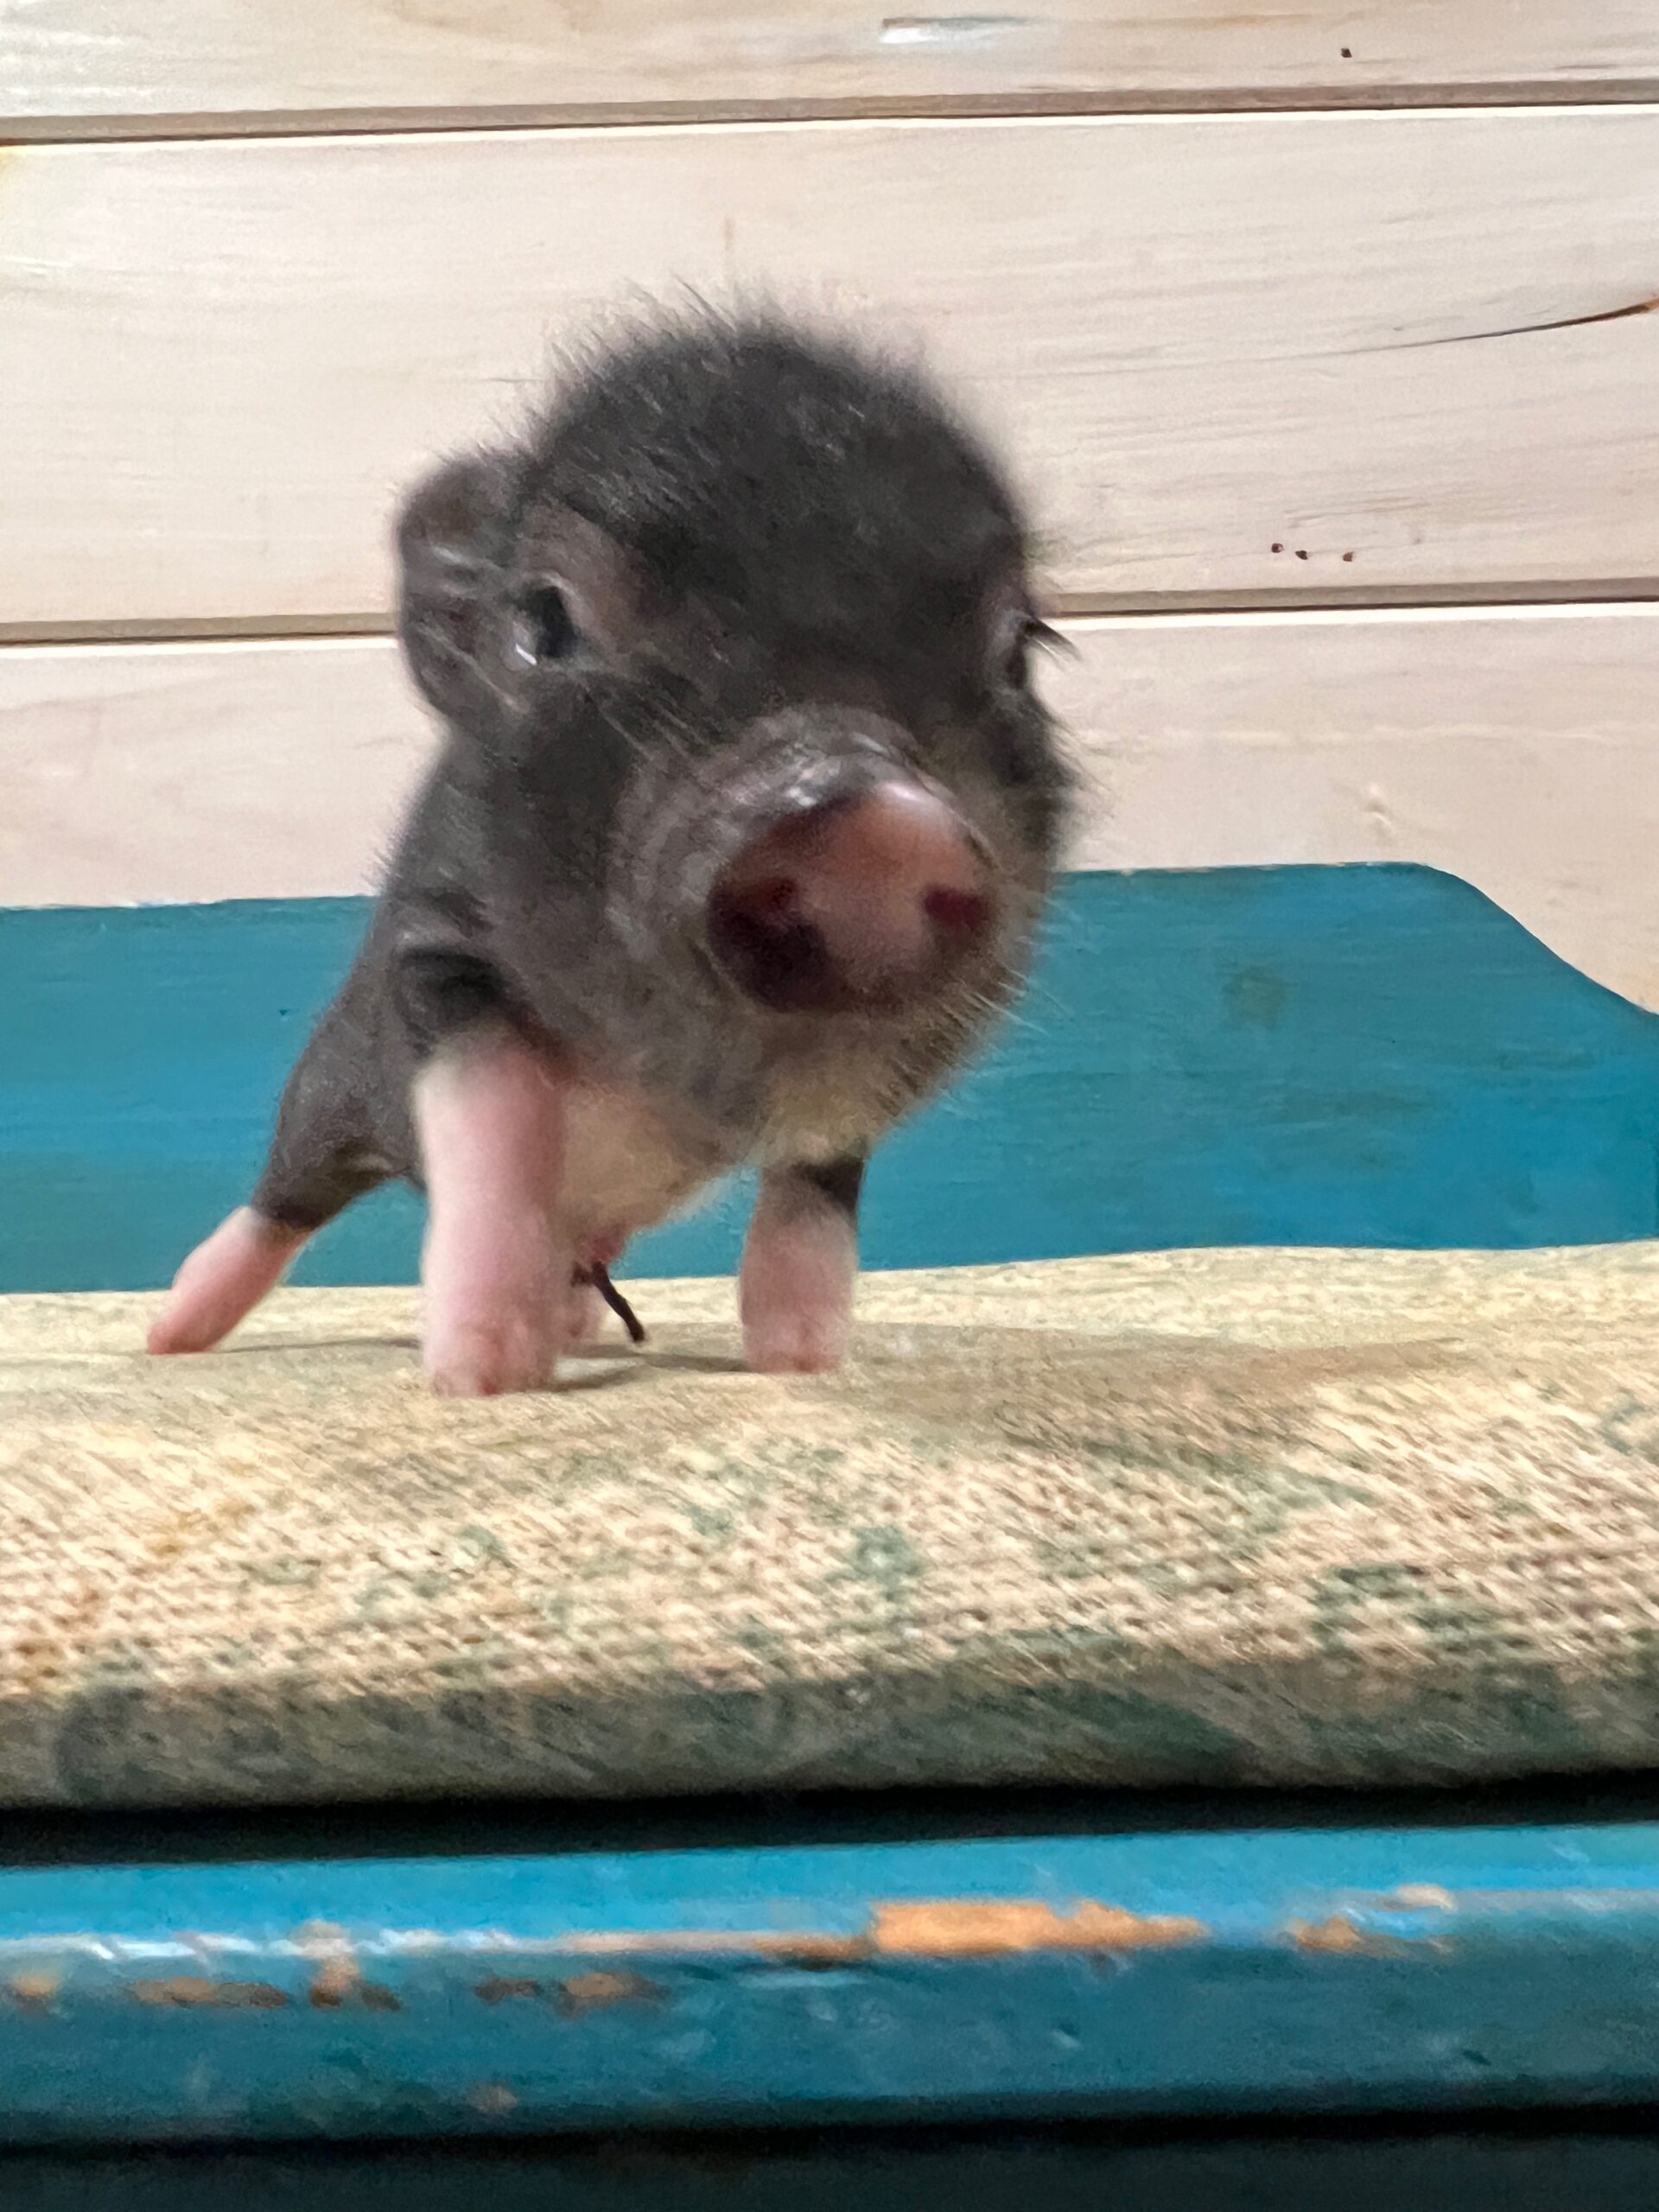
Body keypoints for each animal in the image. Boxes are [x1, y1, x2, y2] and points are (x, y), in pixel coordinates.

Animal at [146, 306, 1072, 1396]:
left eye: (1021, 649)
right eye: (547, 618)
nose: (874, 820)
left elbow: (816, 1193)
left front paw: (803, 1363)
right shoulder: (434, 958)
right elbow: (500, 1124)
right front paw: (482, 1376)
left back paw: (580, 1322)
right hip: (329, 1085)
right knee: (282, 1198)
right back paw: (167, 1334)